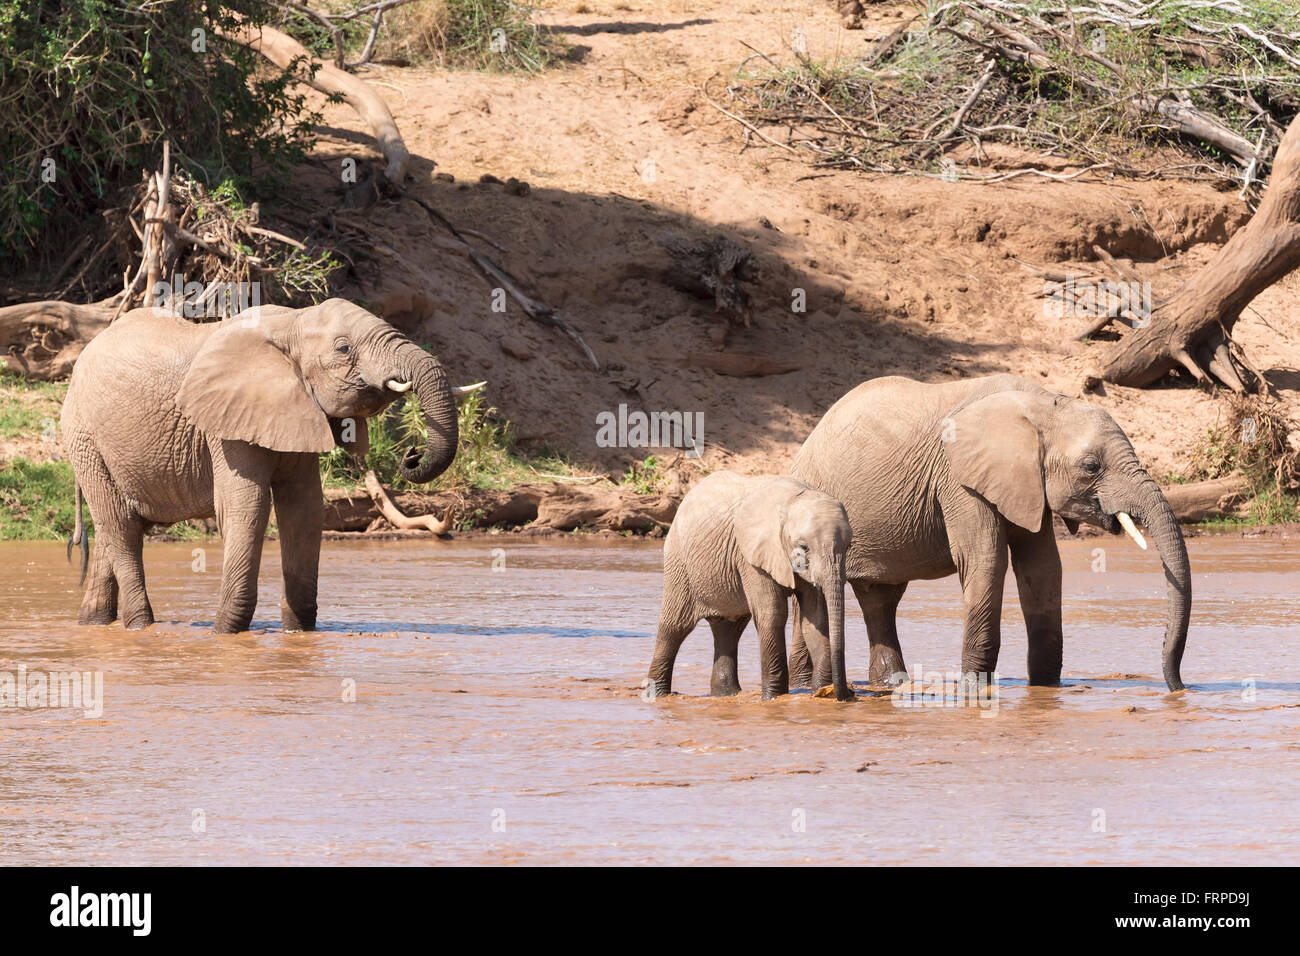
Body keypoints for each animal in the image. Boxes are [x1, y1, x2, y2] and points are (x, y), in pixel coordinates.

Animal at [60, 298, 471, 633]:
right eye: (344, 348)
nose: (411, 455)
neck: (293, 322)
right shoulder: (226, 424)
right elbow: (247, 507)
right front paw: (226, 633)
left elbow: (305, 509)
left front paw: (299, 632)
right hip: (85, 438)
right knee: (122, 528)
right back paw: (141, 627)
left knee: (114, 529)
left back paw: (95, 623)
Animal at [646, 471, 855, 701]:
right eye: (804, 547)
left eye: (848, 546)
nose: (847, 694)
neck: (792, 500)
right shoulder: (751, 557)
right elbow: (772, 614)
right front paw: (773, 698)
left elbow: (815, 618)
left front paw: (821, 692)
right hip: (679, 561)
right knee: (674, 627)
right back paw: (658, 695)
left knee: (729, 629)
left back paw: (726, 695)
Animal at [788, 373, 1191, 692]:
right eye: (1092, 467)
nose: (1179, 687)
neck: (1041, 403)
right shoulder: (959, 481)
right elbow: (986, 562)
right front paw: (973, 689)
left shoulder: (1028, 485)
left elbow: (1043, 569)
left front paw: (1045, 688)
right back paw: (806, 687)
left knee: (880, 597)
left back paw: (890, 685)